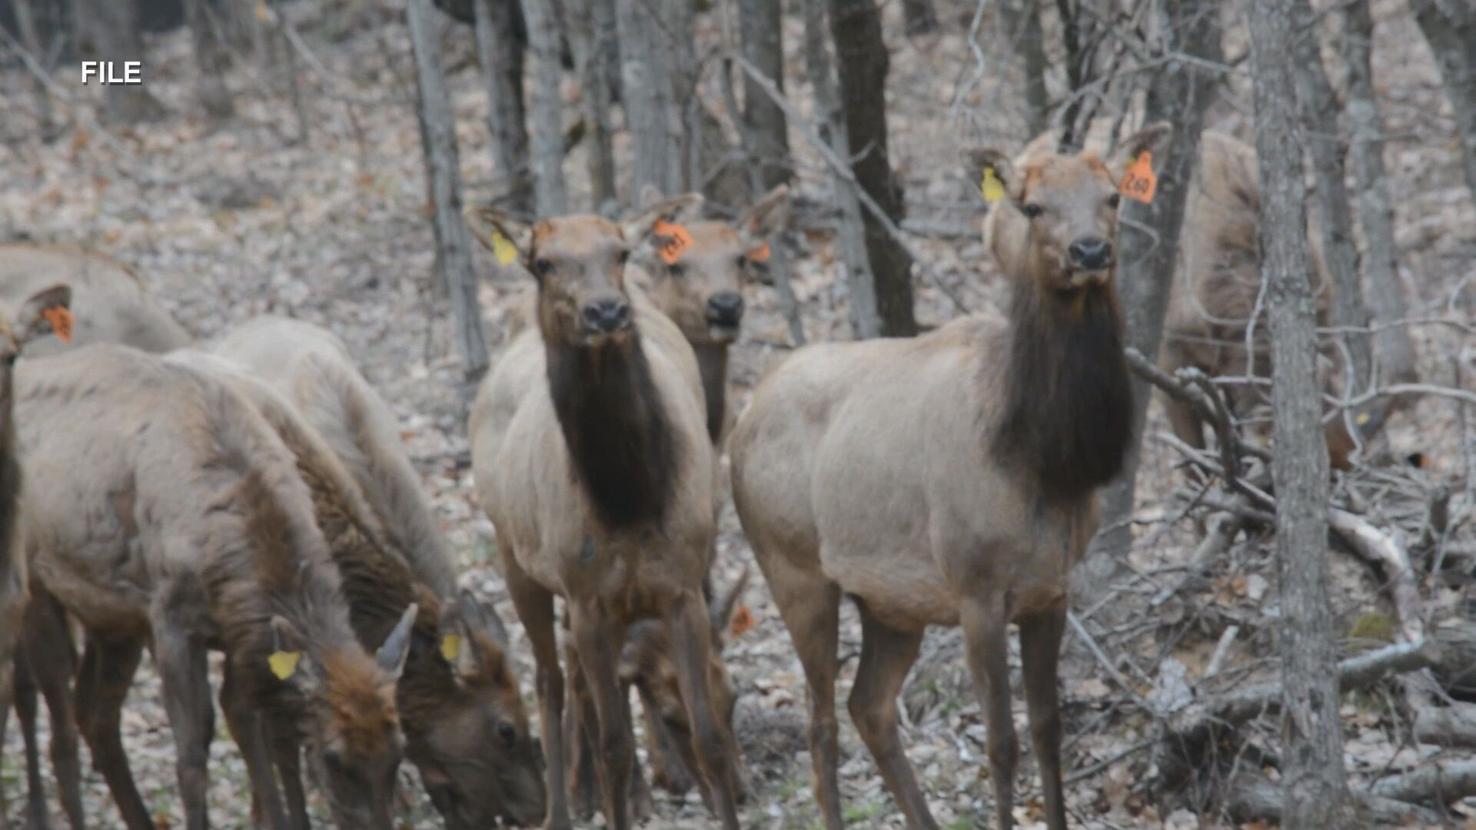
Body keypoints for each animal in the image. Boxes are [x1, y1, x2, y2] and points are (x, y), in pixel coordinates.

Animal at [13, 344, 416, 830]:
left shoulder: (237, 629)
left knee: (95, 714)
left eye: (399, 751)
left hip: (112, 621)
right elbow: (192, 751)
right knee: (61, 729)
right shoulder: (169, 618)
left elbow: (249, 724)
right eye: (334, 758)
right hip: (36, 586)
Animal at [465, 206, 744, 830]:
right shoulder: (589, 599)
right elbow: (616, 744)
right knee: (548, 680)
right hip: (516, 560)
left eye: (619, 252)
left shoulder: (682, 588)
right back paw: (561, 809)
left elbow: (711, 740)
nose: (607, 310)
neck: (629, 501)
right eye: (543, 262)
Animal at [728, 125, 1172, 830]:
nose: (1090, 250)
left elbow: (1048, 729)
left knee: (868, 705)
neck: (1041, 461)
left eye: (1112, 196)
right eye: (1032, 205)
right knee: (820, 721)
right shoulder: (976, 588)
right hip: (793, 568)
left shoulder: (1051, 590)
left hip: (890, 603)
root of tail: (742, 416)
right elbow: (1001, 741)